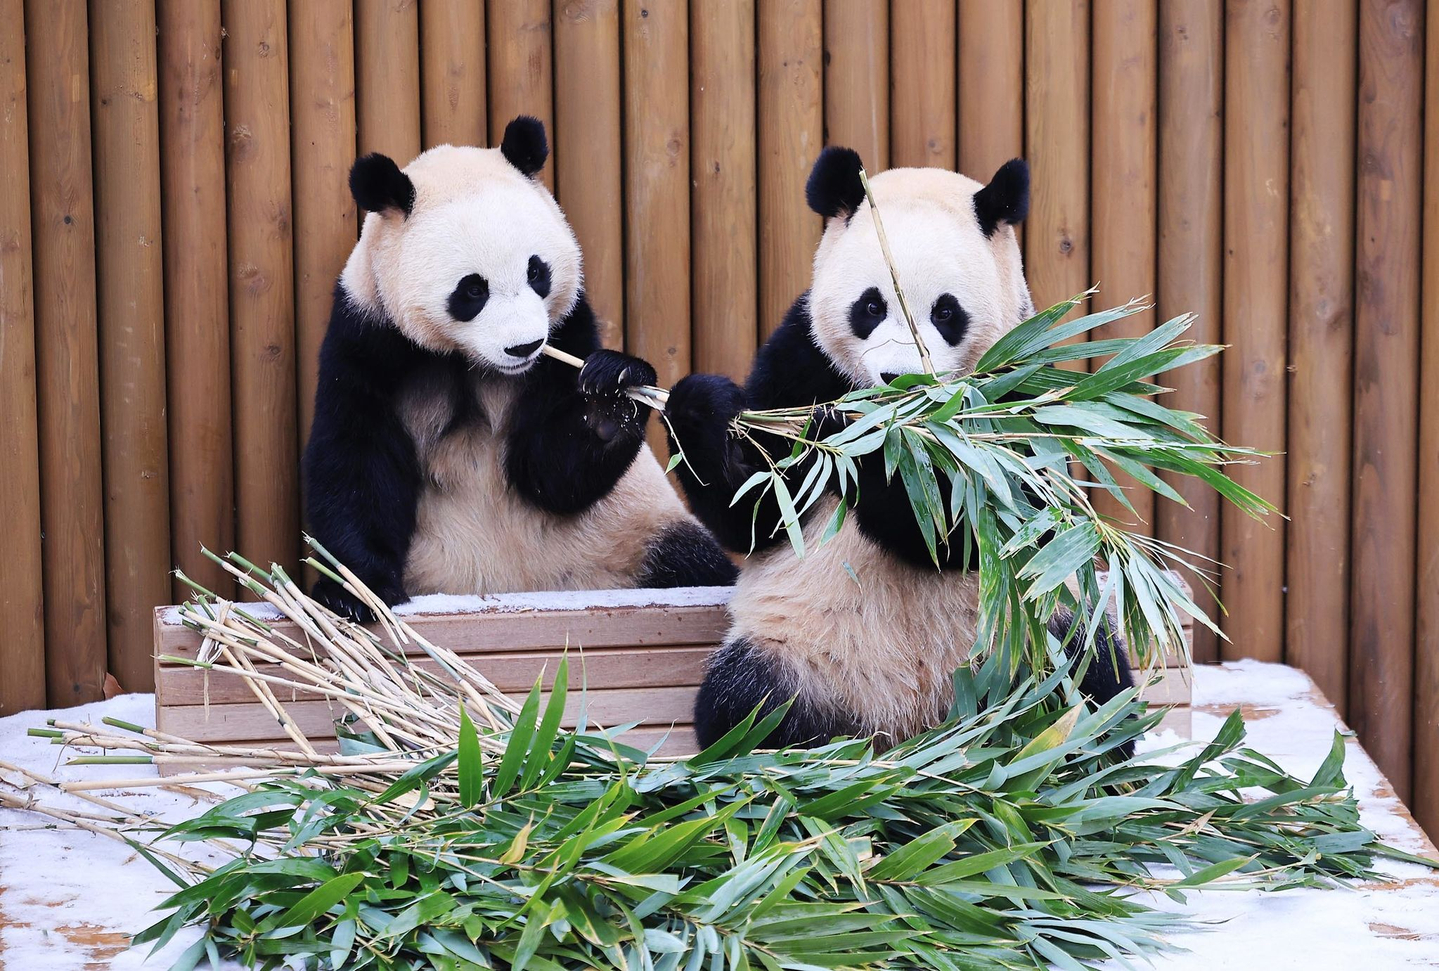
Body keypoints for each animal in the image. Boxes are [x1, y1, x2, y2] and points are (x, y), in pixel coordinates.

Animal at [303, 116, 736, 621]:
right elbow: (357, 459)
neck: (468, 363)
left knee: (696, 563)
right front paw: (353, 592)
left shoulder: (568, 328)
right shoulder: (369, 337)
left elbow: (551, 474)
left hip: (633, 537)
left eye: (537, 271)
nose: (525, 346)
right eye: (472, 289)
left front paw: (610, 396)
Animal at [663, 146, 1133, 749]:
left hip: (1036, 634)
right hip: (799, 652)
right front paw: (704, 407)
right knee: (743, 703)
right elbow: (759, 515)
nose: (897, 380)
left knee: (1096, 685)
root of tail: (914, 724)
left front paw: (878, 453)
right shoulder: (800, 360)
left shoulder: (1020, 386)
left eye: (946, 312)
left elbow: (990, 523)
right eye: (871, 306)